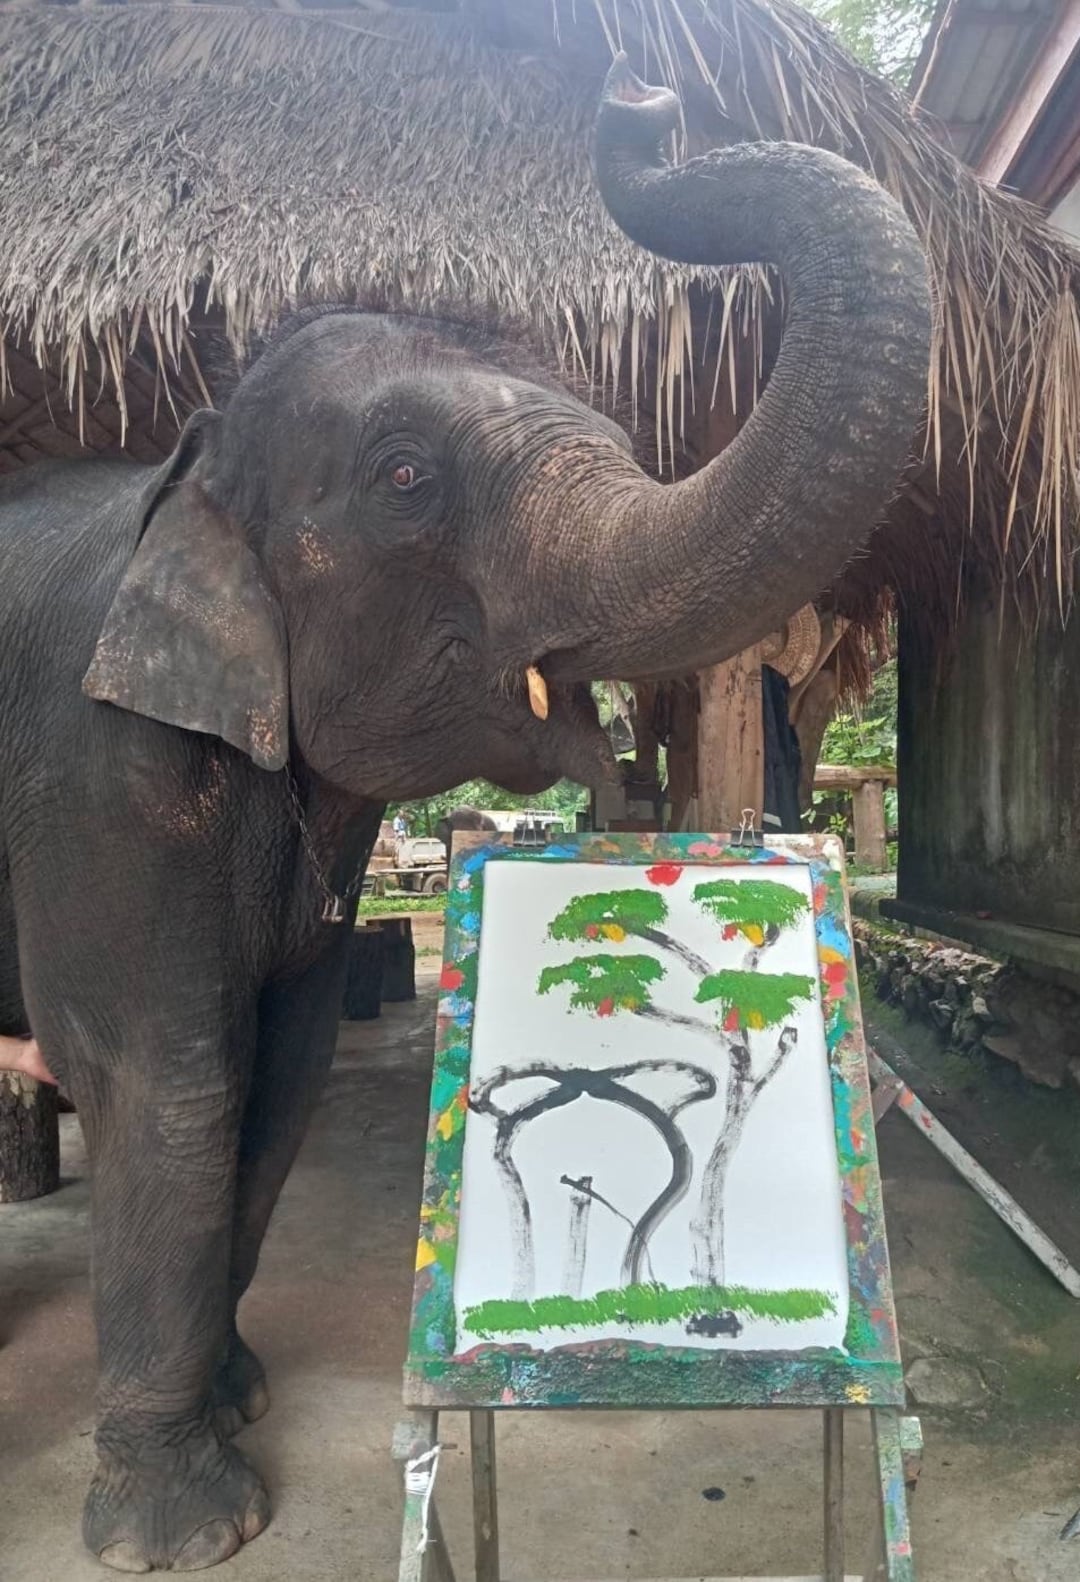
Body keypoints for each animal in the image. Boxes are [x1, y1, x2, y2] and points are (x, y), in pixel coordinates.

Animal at [0, 58, 929, 1572]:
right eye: (402, 476)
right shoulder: (97, 771)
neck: (184, 470)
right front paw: (186, 1529)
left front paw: (239, 1396)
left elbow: (286, 1066)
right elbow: (166, 1076)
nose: (640, 90)